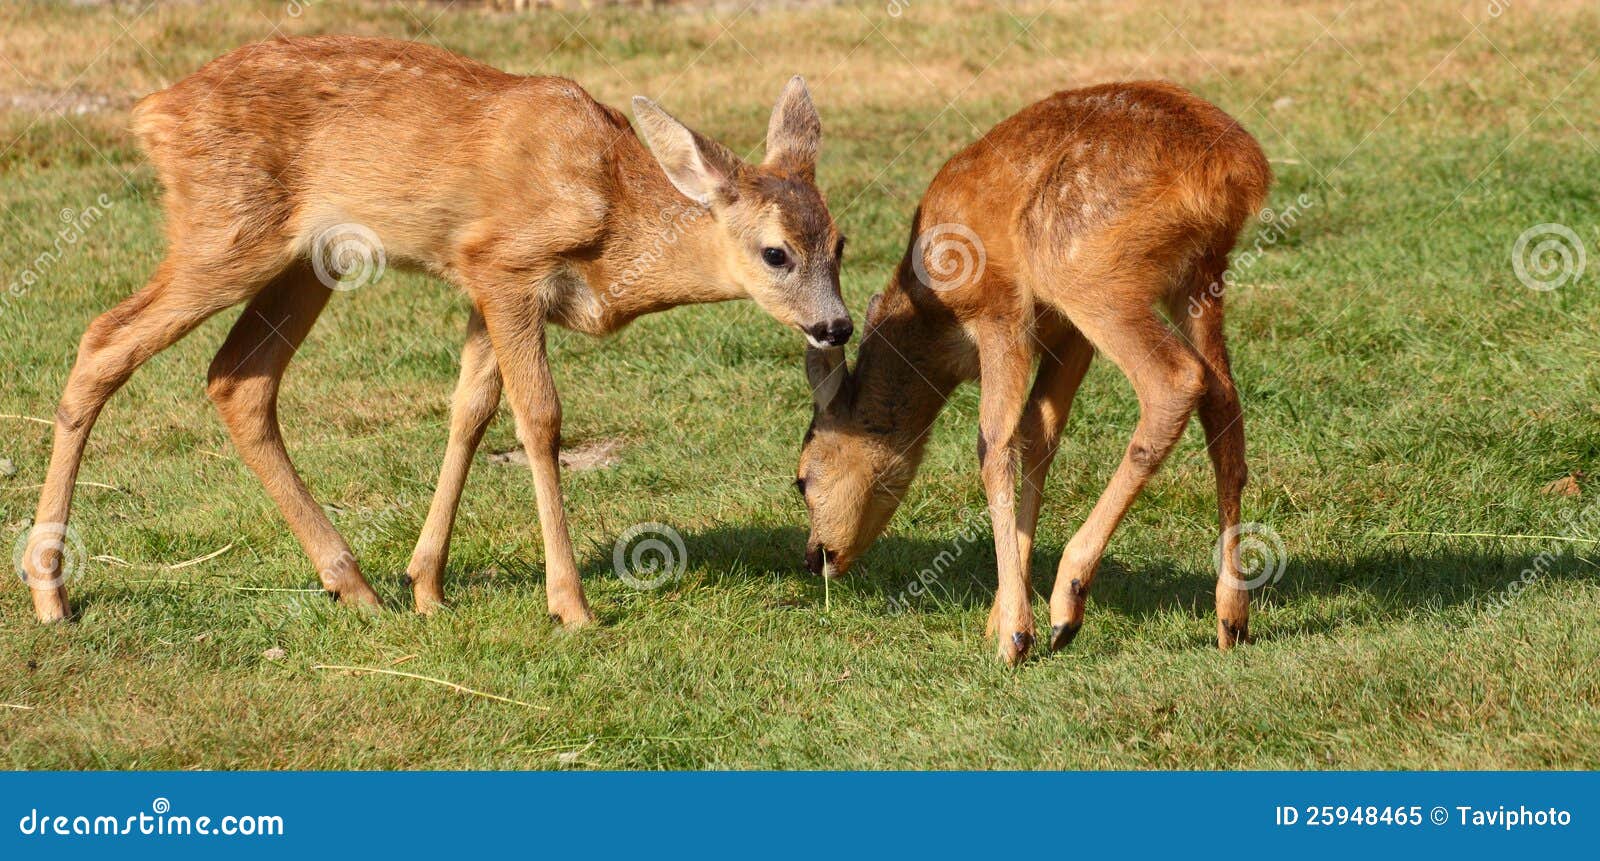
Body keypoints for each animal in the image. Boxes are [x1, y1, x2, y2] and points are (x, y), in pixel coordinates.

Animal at [18, 35, 851, 628]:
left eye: (840, 244)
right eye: (775, 252)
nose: (836, 325)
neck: (615, 212)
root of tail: (152, 112)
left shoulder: (481, 290)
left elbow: (470, 410)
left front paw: (426, 584)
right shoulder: (506, 265)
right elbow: (539, 417)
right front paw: (571, 605)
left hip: (305, 259)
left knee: (239, 377)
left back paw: (353, 584)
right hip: (222, 232)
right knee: (104, 340)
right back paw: (50, 593)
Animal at [795, 81, 1271, 664]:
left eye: (801, 478)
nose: (815, 556)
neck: (932, 322)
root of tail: (1237, 169)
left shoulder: (1000, 311)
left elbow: (994, 442)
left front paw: (1015, 635)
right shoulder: (1066, 334)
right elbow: (1039, 432)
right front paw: (1000, 614)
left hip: (1086, 269)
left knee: (1178, 380)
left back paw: (1069, 599)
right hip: (1199, 277)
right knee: (1224, 402)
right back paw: (1232, 616)